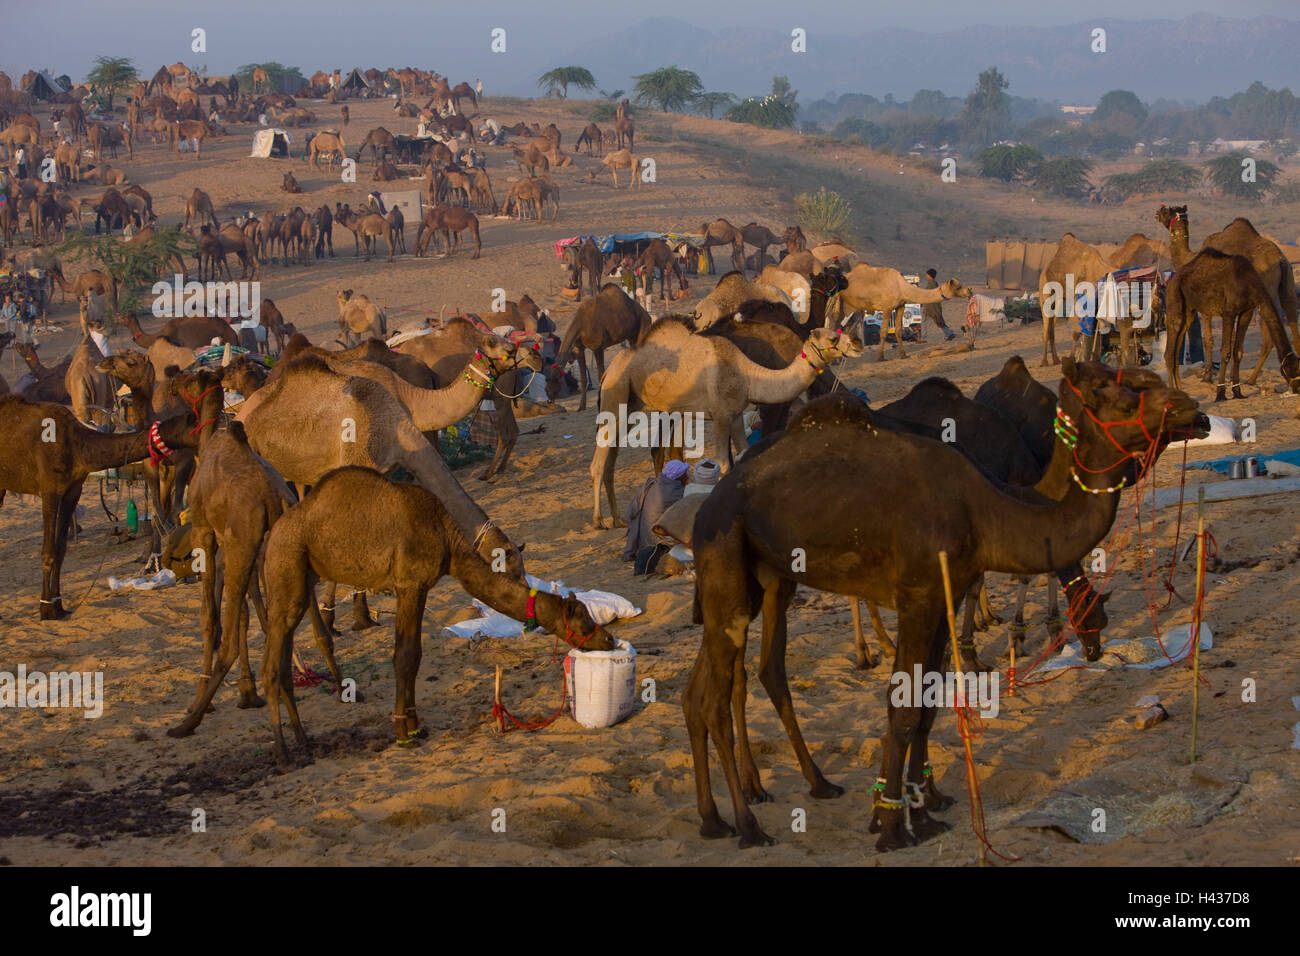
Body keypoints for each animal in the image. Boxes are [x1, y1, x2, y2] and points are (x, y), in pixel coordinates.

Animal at [0, 395, 198, 619]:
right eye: (194, 425)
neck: (78, 446)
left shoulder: (73, 490)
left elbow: (60, 550)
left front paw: (59, 606)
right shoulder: (49, 490)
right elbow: (48, 551)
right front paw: (46, 609)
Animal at [259, 466, 611, 765]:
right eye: (582, 619)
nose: (607, 639)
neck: (446, 537)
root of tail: (273, 533)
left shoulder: (422, 586)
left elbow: (414, 658)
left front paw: (416, 727)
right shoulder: (409, 584)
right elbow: (405, 656)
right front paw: (404, 735)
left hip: (304, 577)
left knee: (285, 659)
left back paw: (304, 742)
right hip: (285, 564)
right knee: (272, 663)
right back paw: (283, 754)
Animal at [590, 319, 862, 527]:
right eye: (833, 339)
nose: (858, 343)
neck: (747, 375)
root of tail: (608, 372)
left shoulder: (735, 415)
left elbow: (744, 453)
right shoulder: (720, 415)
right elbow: (722, 463)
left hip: (629, 405)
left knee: (610, 461)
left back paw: (618, 519)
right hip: (616, 394)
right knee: (599, 462)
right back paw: (599, 520)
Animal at [683, 361, 1208, 851]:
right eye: (1112, 391)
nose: (1193, 410)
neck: (988, 510)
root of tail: (704, 511)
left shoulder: (943, 597)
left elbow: (927, 703)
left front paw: (924, 807)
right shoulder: (918, 596)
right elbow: (902, 706)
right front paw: (890, 825)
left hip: (759, 580)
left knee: (718, 683)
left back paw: (722, 815)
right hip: (728, 563)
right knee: (717, 698)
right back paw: (748, 825)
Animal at [838, 265, 972, 359]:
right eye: (958, 287)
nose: (969, 291)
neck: (901, 287)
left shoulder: (901, 306)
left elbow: (898, 330)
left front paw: (903, 355)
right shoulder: (887, 307)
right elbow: (883, 331)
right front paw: (881, 357)